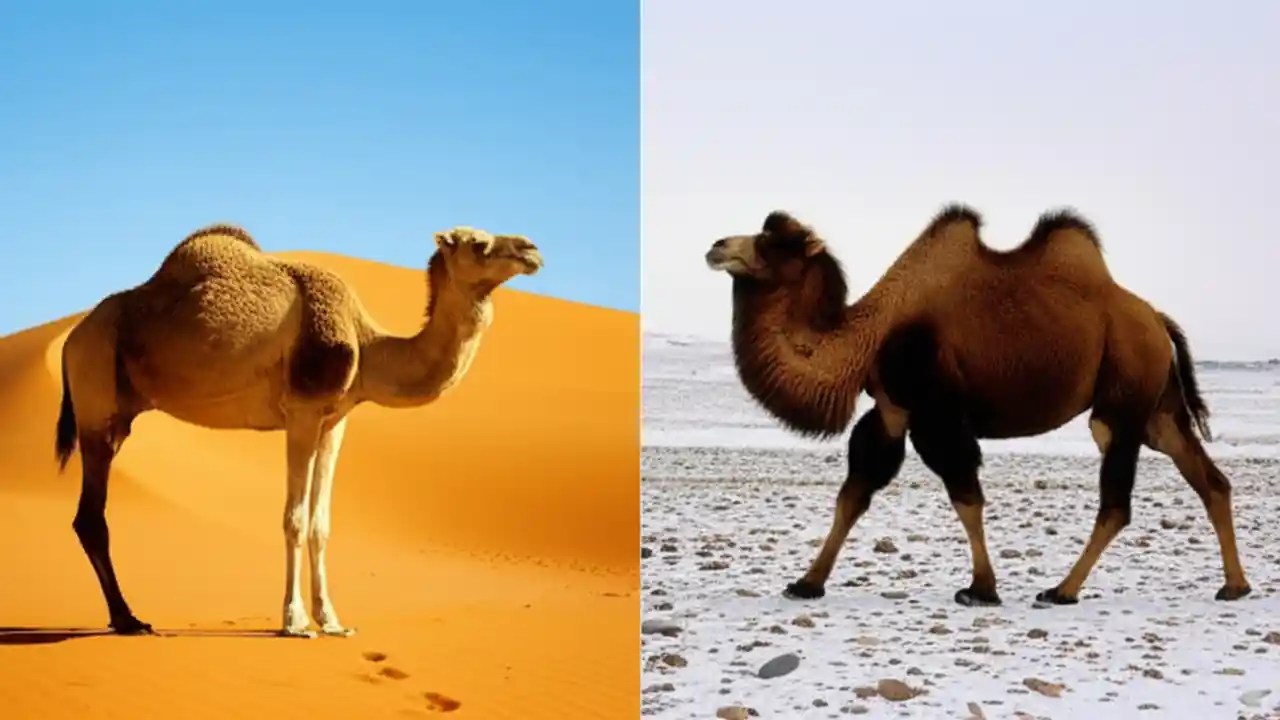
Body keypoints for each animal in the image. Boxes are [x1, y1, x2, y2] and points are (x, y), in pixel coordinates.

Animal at [55, 223, 542, 636]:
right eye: (478, 243)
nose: (531, 250)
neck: (366, 347)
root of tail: (71, 338)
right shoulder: (302, 411)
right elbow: (294, 517)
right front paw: (294, 621)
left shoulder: (335, 421)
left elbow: (321, 523)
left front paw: (333, 621)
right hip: (96, 400)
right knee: (91, 515)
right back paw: (128, 619)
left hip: (119, 416)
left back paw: (126, 616)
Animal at [704, 205, 1251, 607]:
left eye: (773, 240)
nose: (716, 245)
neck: (868, 339)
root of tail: (1157, 318)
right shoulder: (892, 410)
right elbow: (853, 493)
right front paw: (806, 583)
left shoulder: (937, 413)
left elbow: (965, 495)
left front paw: (981, 589)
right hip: (1158, 406)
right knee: (1207, 477)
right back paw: (1234, 586)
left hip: (1123, 393)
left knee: (1116, 494)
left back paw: (1061, 590)